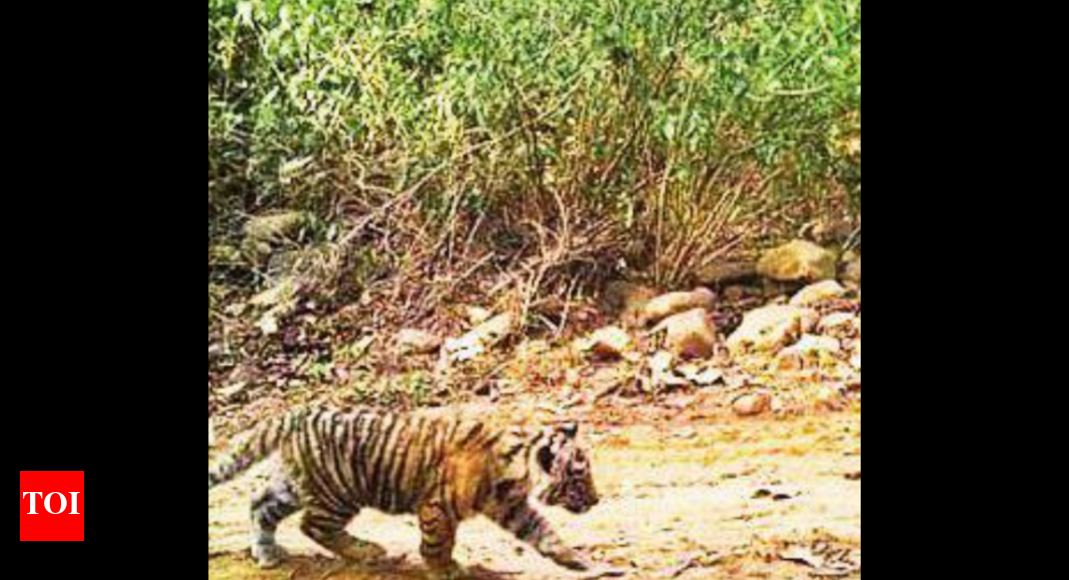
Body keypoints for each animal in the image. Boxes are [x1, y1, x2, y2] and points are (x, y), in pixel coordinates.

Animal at [207, 406, 621, 579]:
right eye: (579, 478)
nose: (597, 500)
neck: (518, 468)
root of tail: (293, 415)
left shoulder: (514, 507)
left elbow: (548, 537)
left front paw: (587, 564)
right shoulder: (437, 506)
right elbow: (438, 543)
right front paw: (445, 569)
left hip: (295, 485)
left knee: (259, 506)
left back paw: (266, 553)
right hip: (338, 491)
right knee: (313, 526)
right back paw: (369, 551)